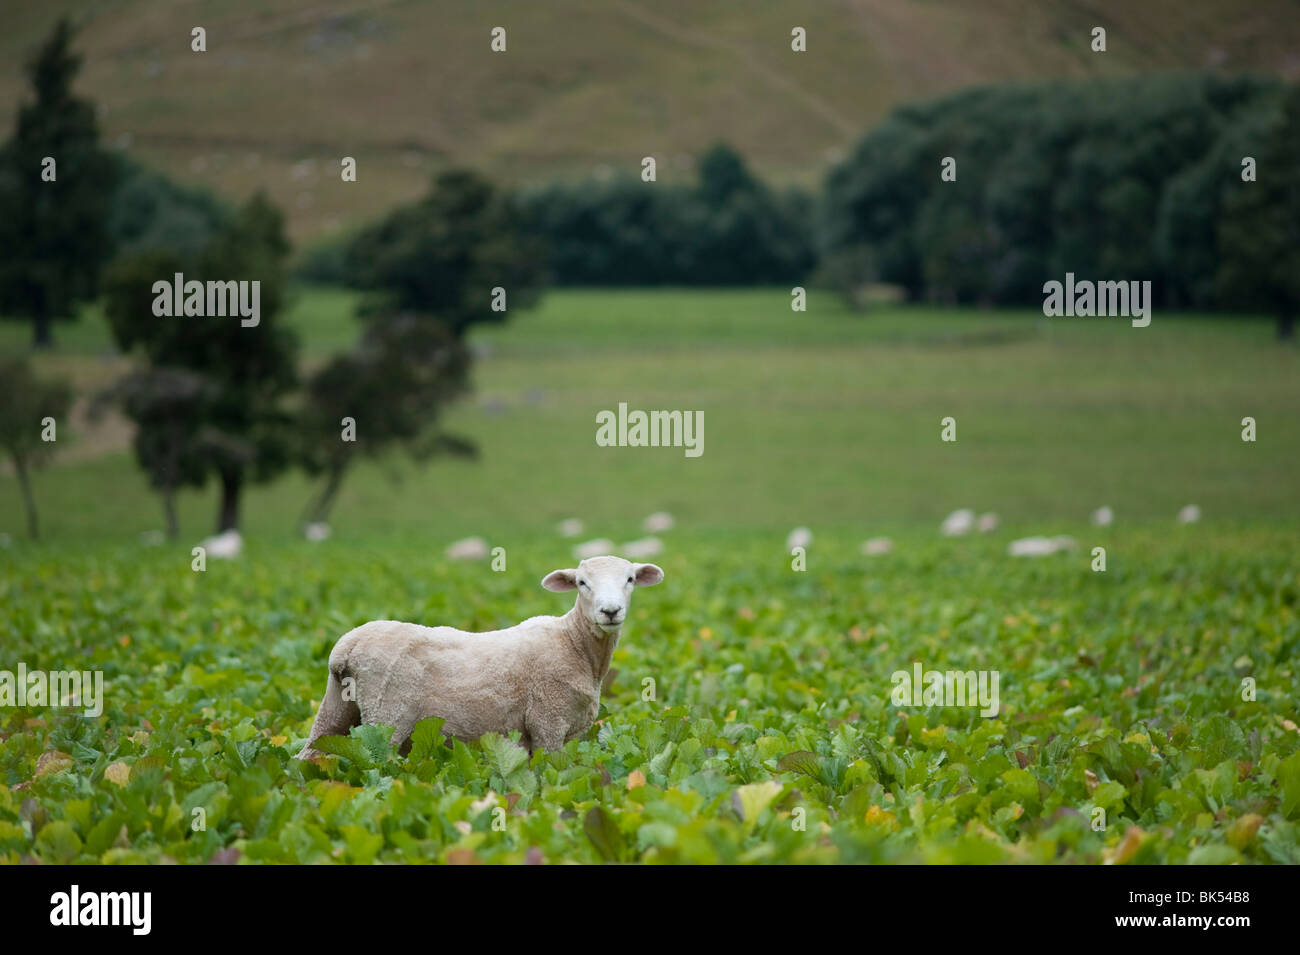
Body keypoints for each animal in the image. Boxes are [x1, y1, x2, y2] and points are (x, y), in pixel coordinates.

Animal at [297, 556, 665, 758]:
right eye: (582, 583)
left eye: (630, 579)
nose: (610, 611)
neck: (574, 643)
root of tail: (345, 649)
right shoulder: (548, 723)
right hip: (386, 717)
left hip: (336, 708)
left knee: (308, 755)